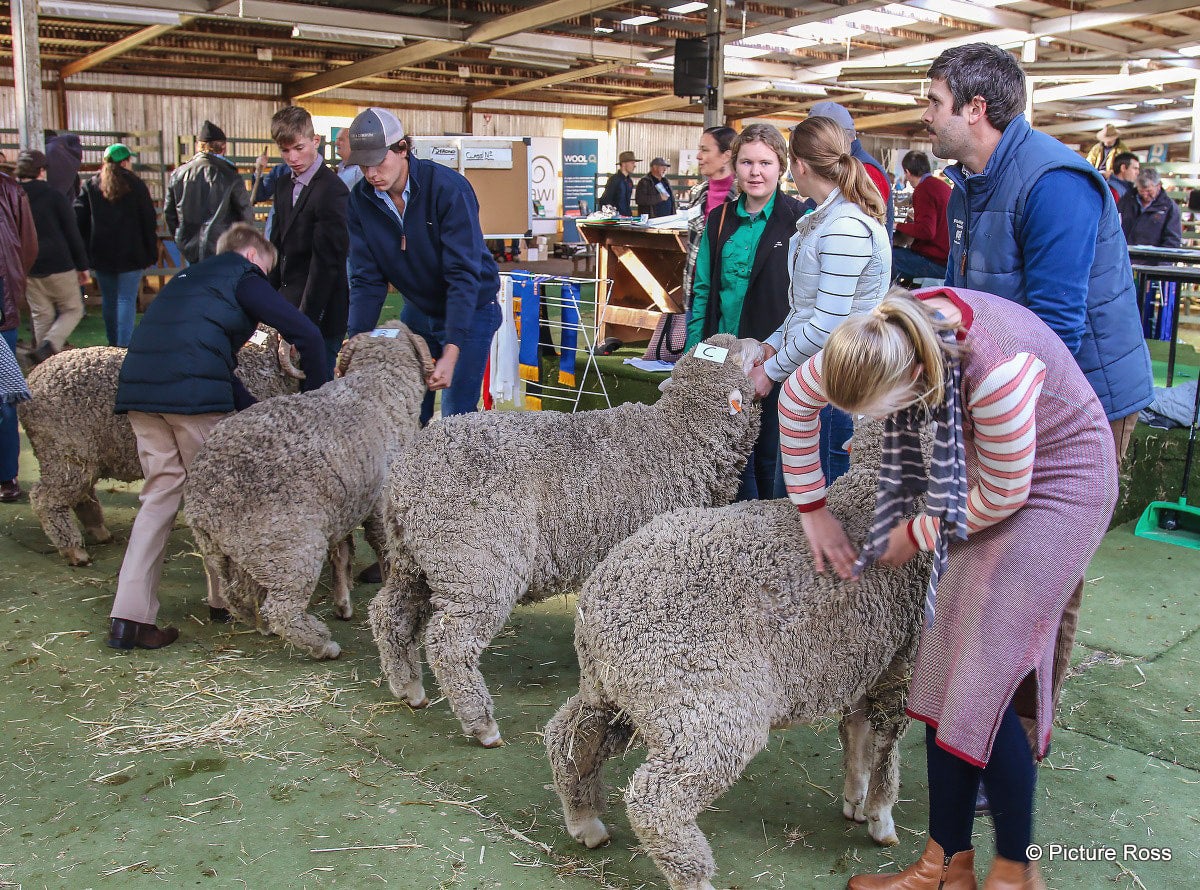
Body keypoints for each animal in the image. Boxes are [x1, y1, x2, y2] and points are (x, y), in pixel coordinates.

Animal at [17, 330, 302, 566]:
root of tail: (33, 382)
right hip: (64, 451)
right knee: (45, 498)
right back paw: (74, 550)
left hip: (82, 455)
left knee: (81, 493)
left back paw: (98, 531)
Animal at [183, 324, 432, 660]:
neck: (379, 387)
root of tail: (202, 499)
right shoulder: (379, 505)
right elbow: (382, 548)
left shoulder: (342, 505)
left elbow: (342, 552)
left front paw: (343, 602)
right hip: (288, 546)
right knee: (282, 609)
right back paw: (322, 644)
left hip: (234, 552)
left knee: (237, 595)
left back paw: (260, 623)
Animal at [369, 334, 763, 748]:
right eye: (739, 352)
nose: (760, 342)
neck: (679, 434)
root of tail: (406, 471)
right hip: (474, 561)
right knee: (450, 642)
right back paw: (482, 725)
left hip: (417, 557)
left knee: (388, 613)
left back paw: (408, 688)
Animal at [543, 419, 933, 890]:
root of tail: (598, 602)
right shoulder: (903, 659)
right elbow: (886, 744)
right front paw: (880, 816)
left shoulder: (865, 657)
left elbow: (855, 728)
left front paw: (855, 797)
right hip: (704, 702)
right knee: (655, 802)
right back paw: (694, 877)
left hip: (622, 692)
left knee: (568, 738)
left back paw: (585, 823)